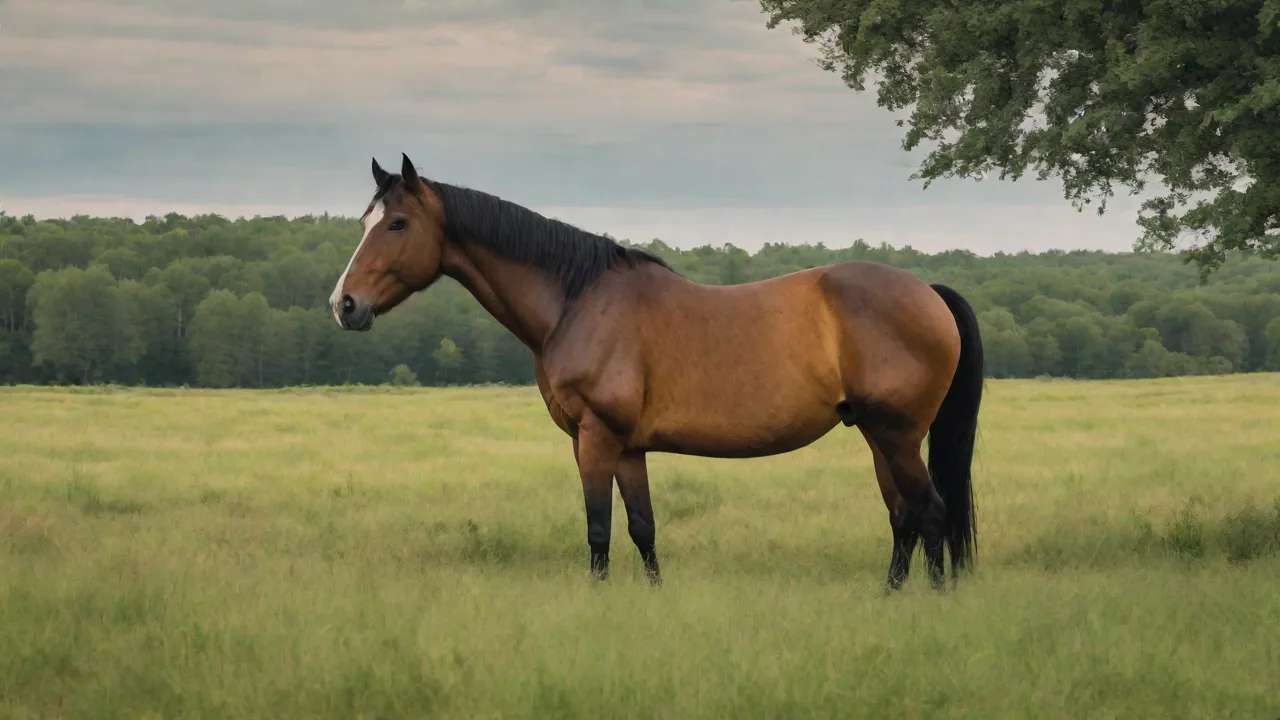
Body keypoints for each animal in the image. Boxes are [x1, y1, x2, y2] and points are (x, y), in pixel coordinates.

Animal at [330, 154, 984, 593]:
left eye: (396, 225)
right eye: (366, 223)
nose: (344, 305)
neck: (579, 300)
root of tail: (928, 291)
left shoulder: (596, 437)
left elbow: (598, 528)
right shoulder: (627, 446)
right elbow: (642, 526)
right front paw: (652, 597)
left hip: (896, 434)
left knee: (930, 512)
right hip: (878, 435)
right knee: (904, 517)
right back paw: (891, 596)